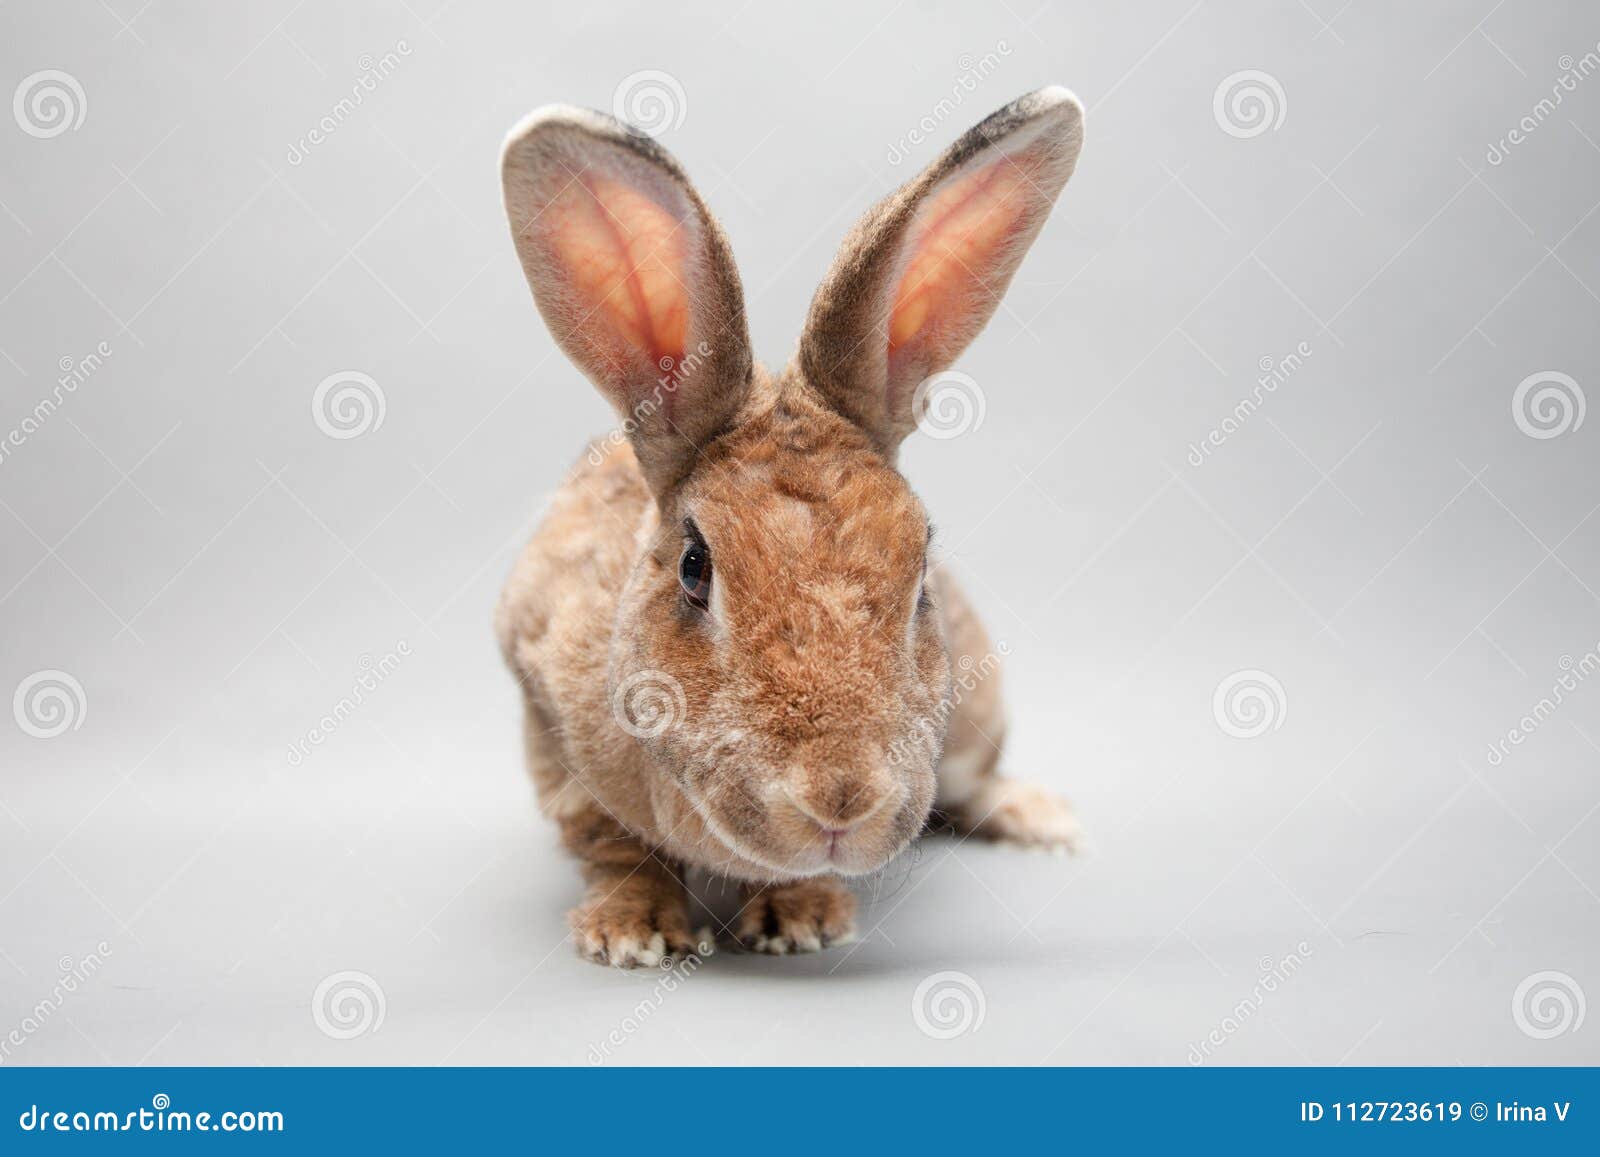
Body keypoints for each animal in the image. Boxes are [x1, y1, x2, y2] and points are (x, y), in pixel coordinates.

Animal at [495, 86, 1085, 967]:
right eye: (695, 566)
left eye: (920, 574)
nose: (841, 799)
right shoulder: (549, 726)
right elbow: (613, 844)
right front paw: (633, 934)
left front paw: (802, 919)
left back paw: (1044, 820)